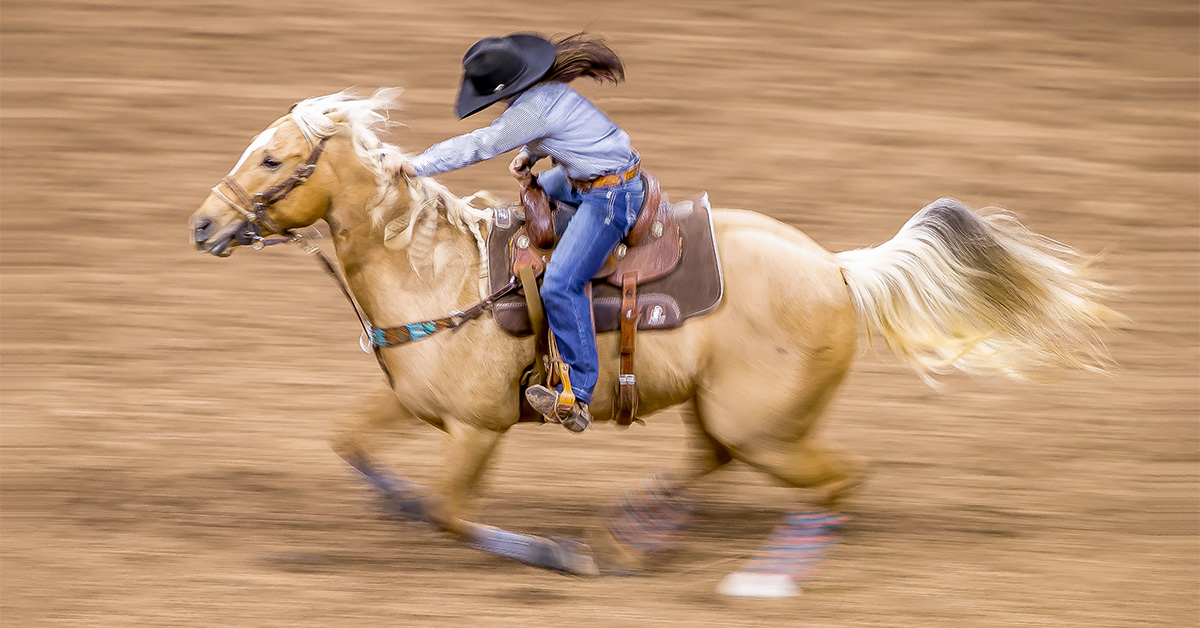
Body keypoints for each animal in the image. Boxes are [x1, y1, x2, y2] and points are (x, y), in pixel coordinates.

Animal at [188, 89, 1120, 597]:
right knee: (712, 461)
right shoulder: (415, 406)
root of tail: (838, 269)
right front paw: (398, 504)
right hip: (727, 413)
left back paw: (754, 575)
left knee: (834, 482)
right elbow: (350, 445)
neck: (437, 272)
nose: (202, 223)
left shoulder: (478, 429)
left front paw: (555, 555)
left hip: (766, 427)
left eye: (271, 160)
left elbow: (453, 514)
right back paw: (639, 525)